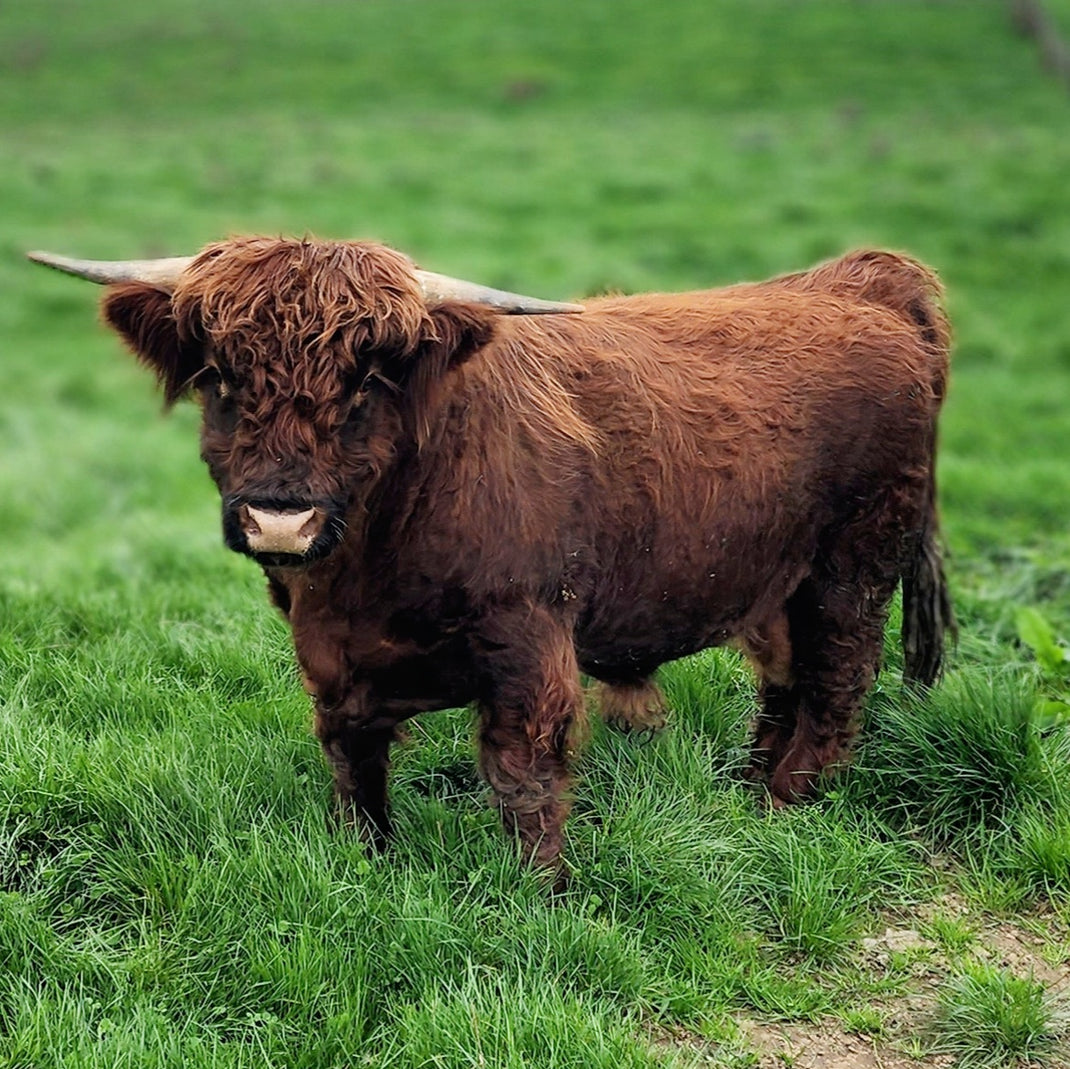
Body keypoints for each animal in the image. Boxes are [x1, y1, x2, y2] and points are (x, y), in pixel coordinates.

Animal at [28, 238, 953, 871]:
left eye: (368, 381)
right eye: (219, 376)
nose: (280, 519)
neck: (366, 571)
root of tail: (862, 278)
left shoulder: (530, 637)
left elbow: (522, 771)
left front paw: (541, 892)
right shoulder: (329, 656)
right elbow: (351, 757)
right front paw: (367, 859)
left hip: (852, 566)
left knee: (837, 683)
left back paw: (787, 806)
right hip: (777, 578)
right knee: (785, 678)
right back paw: (748, 787)